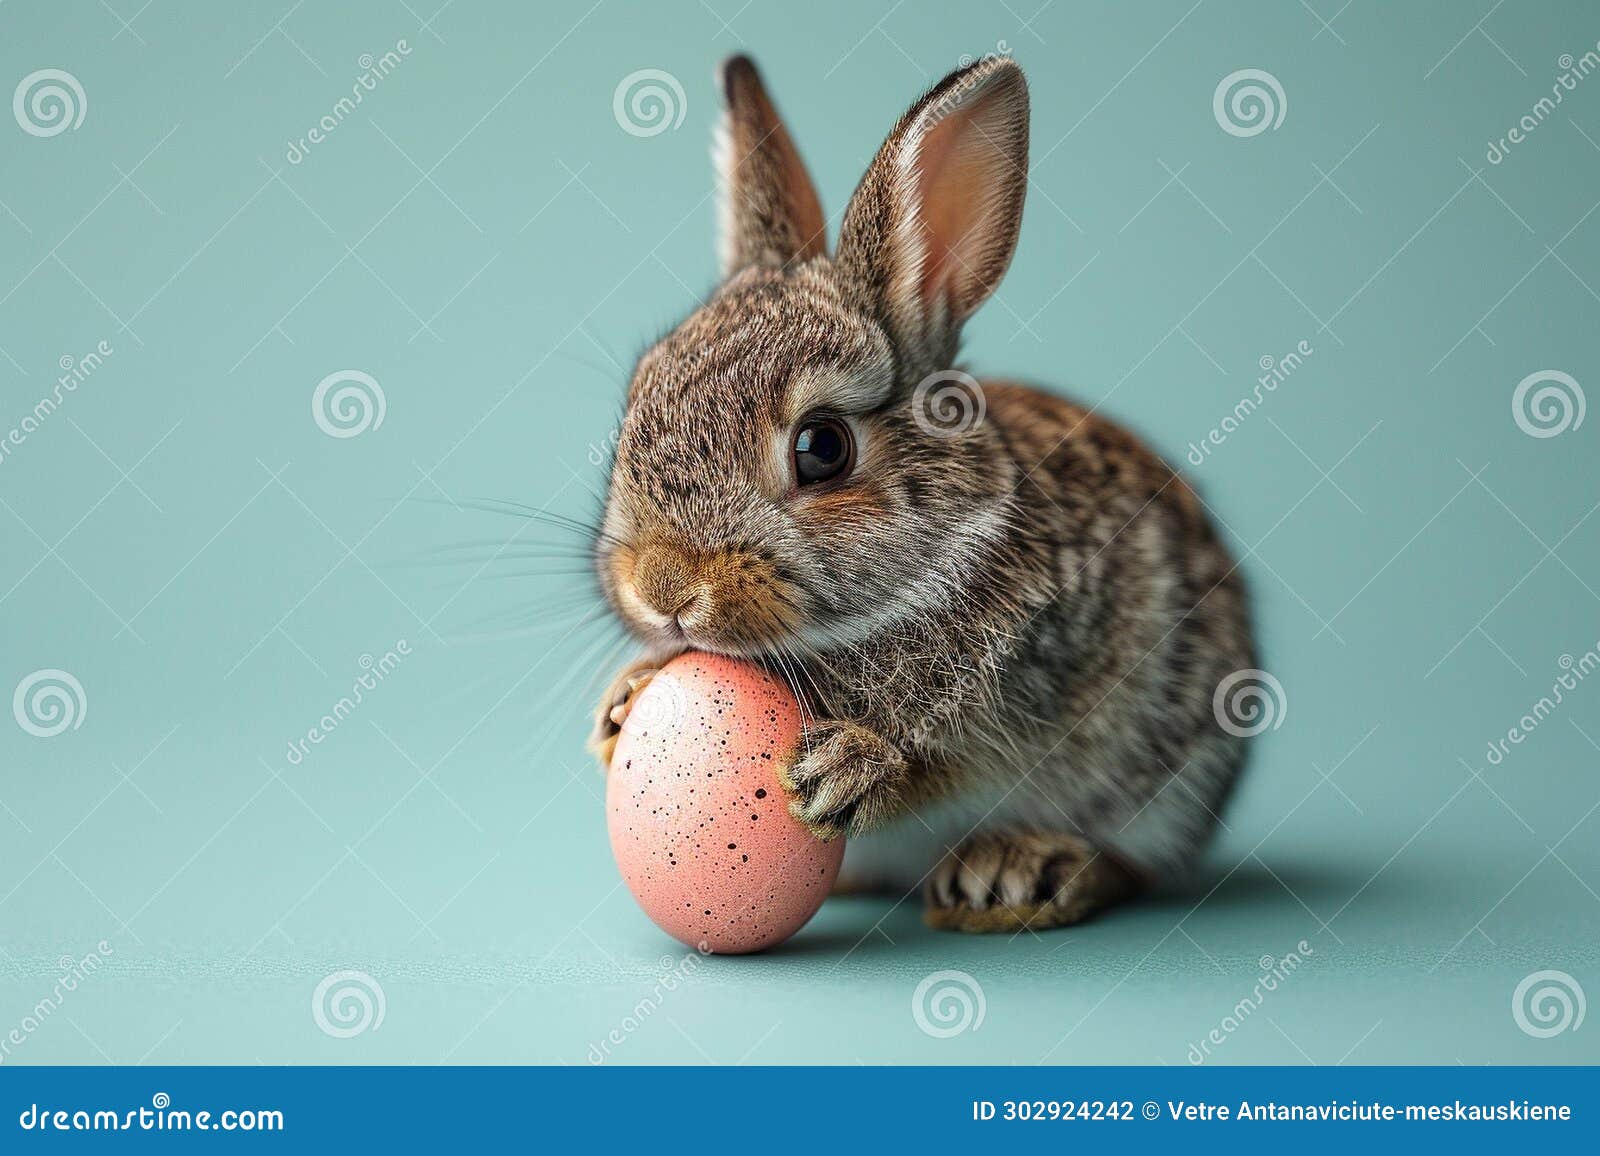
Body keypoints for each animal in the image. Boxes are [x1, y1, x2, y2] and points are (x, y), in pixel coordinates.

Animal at [589, 53, 1256, 933]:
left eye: (822, 449)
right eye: (640, 395)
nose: (662, 586)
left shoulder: (1014, 692)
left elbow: (945, 762)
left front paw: (851, 769)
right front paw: (621, 705)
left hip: (1173, 775)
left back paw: (1016, 875)